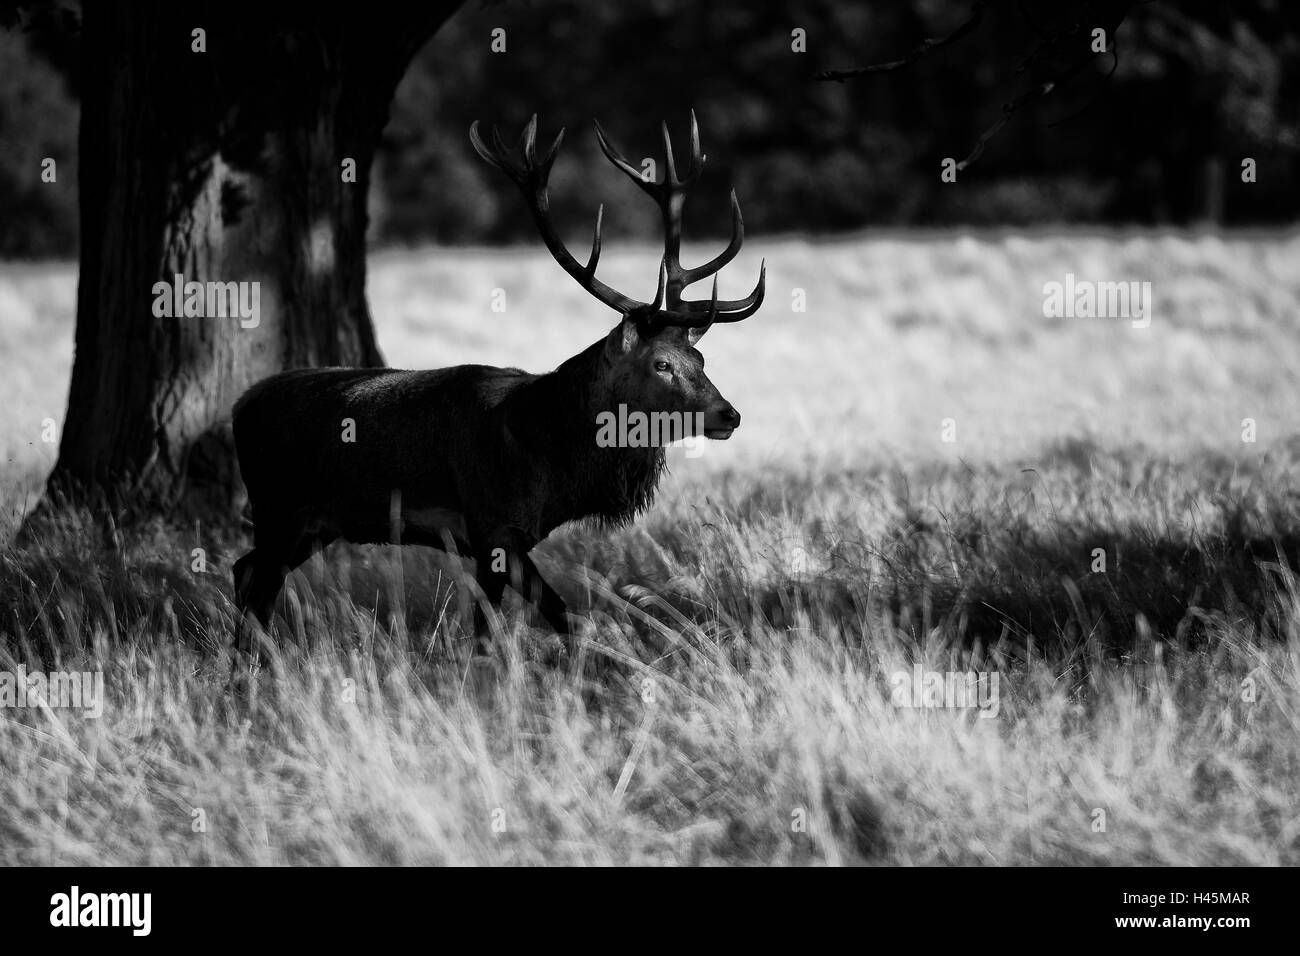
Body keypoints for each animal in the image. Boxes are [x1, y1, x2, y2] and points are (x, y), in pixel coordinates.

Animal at [230, 112, 764, 651]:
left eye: (699, 356)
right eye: (660, 364)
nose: (730, 414)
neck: (549, 463)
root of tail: (239, 405)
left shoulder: (511, 536)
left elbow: (548, 617)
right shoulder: (490, 526)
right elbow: (504, 626)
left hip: (313, 523)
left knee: (246, 572)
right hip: (277, 505)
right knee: (255, 577)